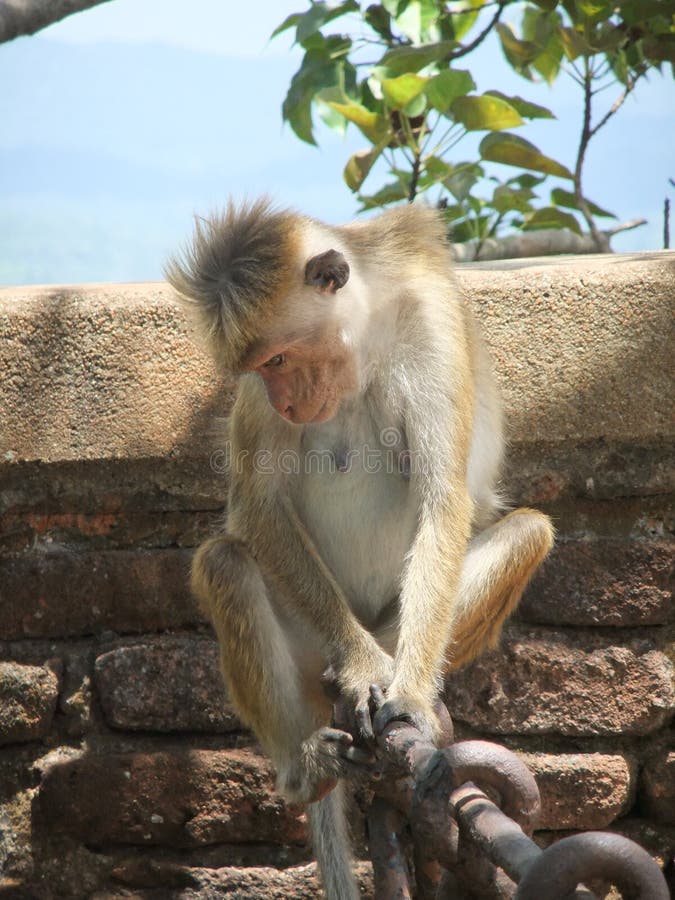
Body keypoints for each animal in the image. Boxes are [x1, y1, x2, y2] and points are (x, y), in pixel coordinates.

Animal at [165, 198, 554, 900]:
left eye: (280, 360)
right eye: (261, 368)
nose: (284, 401)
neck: (367, 335)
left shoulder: (431, 330)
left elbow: (443, 499)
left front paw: (411, 699)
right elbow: (257, 504)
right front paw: (365, 667)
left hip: (403, 625)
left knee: (528, 530)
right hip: (308, 649)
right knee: (226, 562)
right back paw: (308, 765)